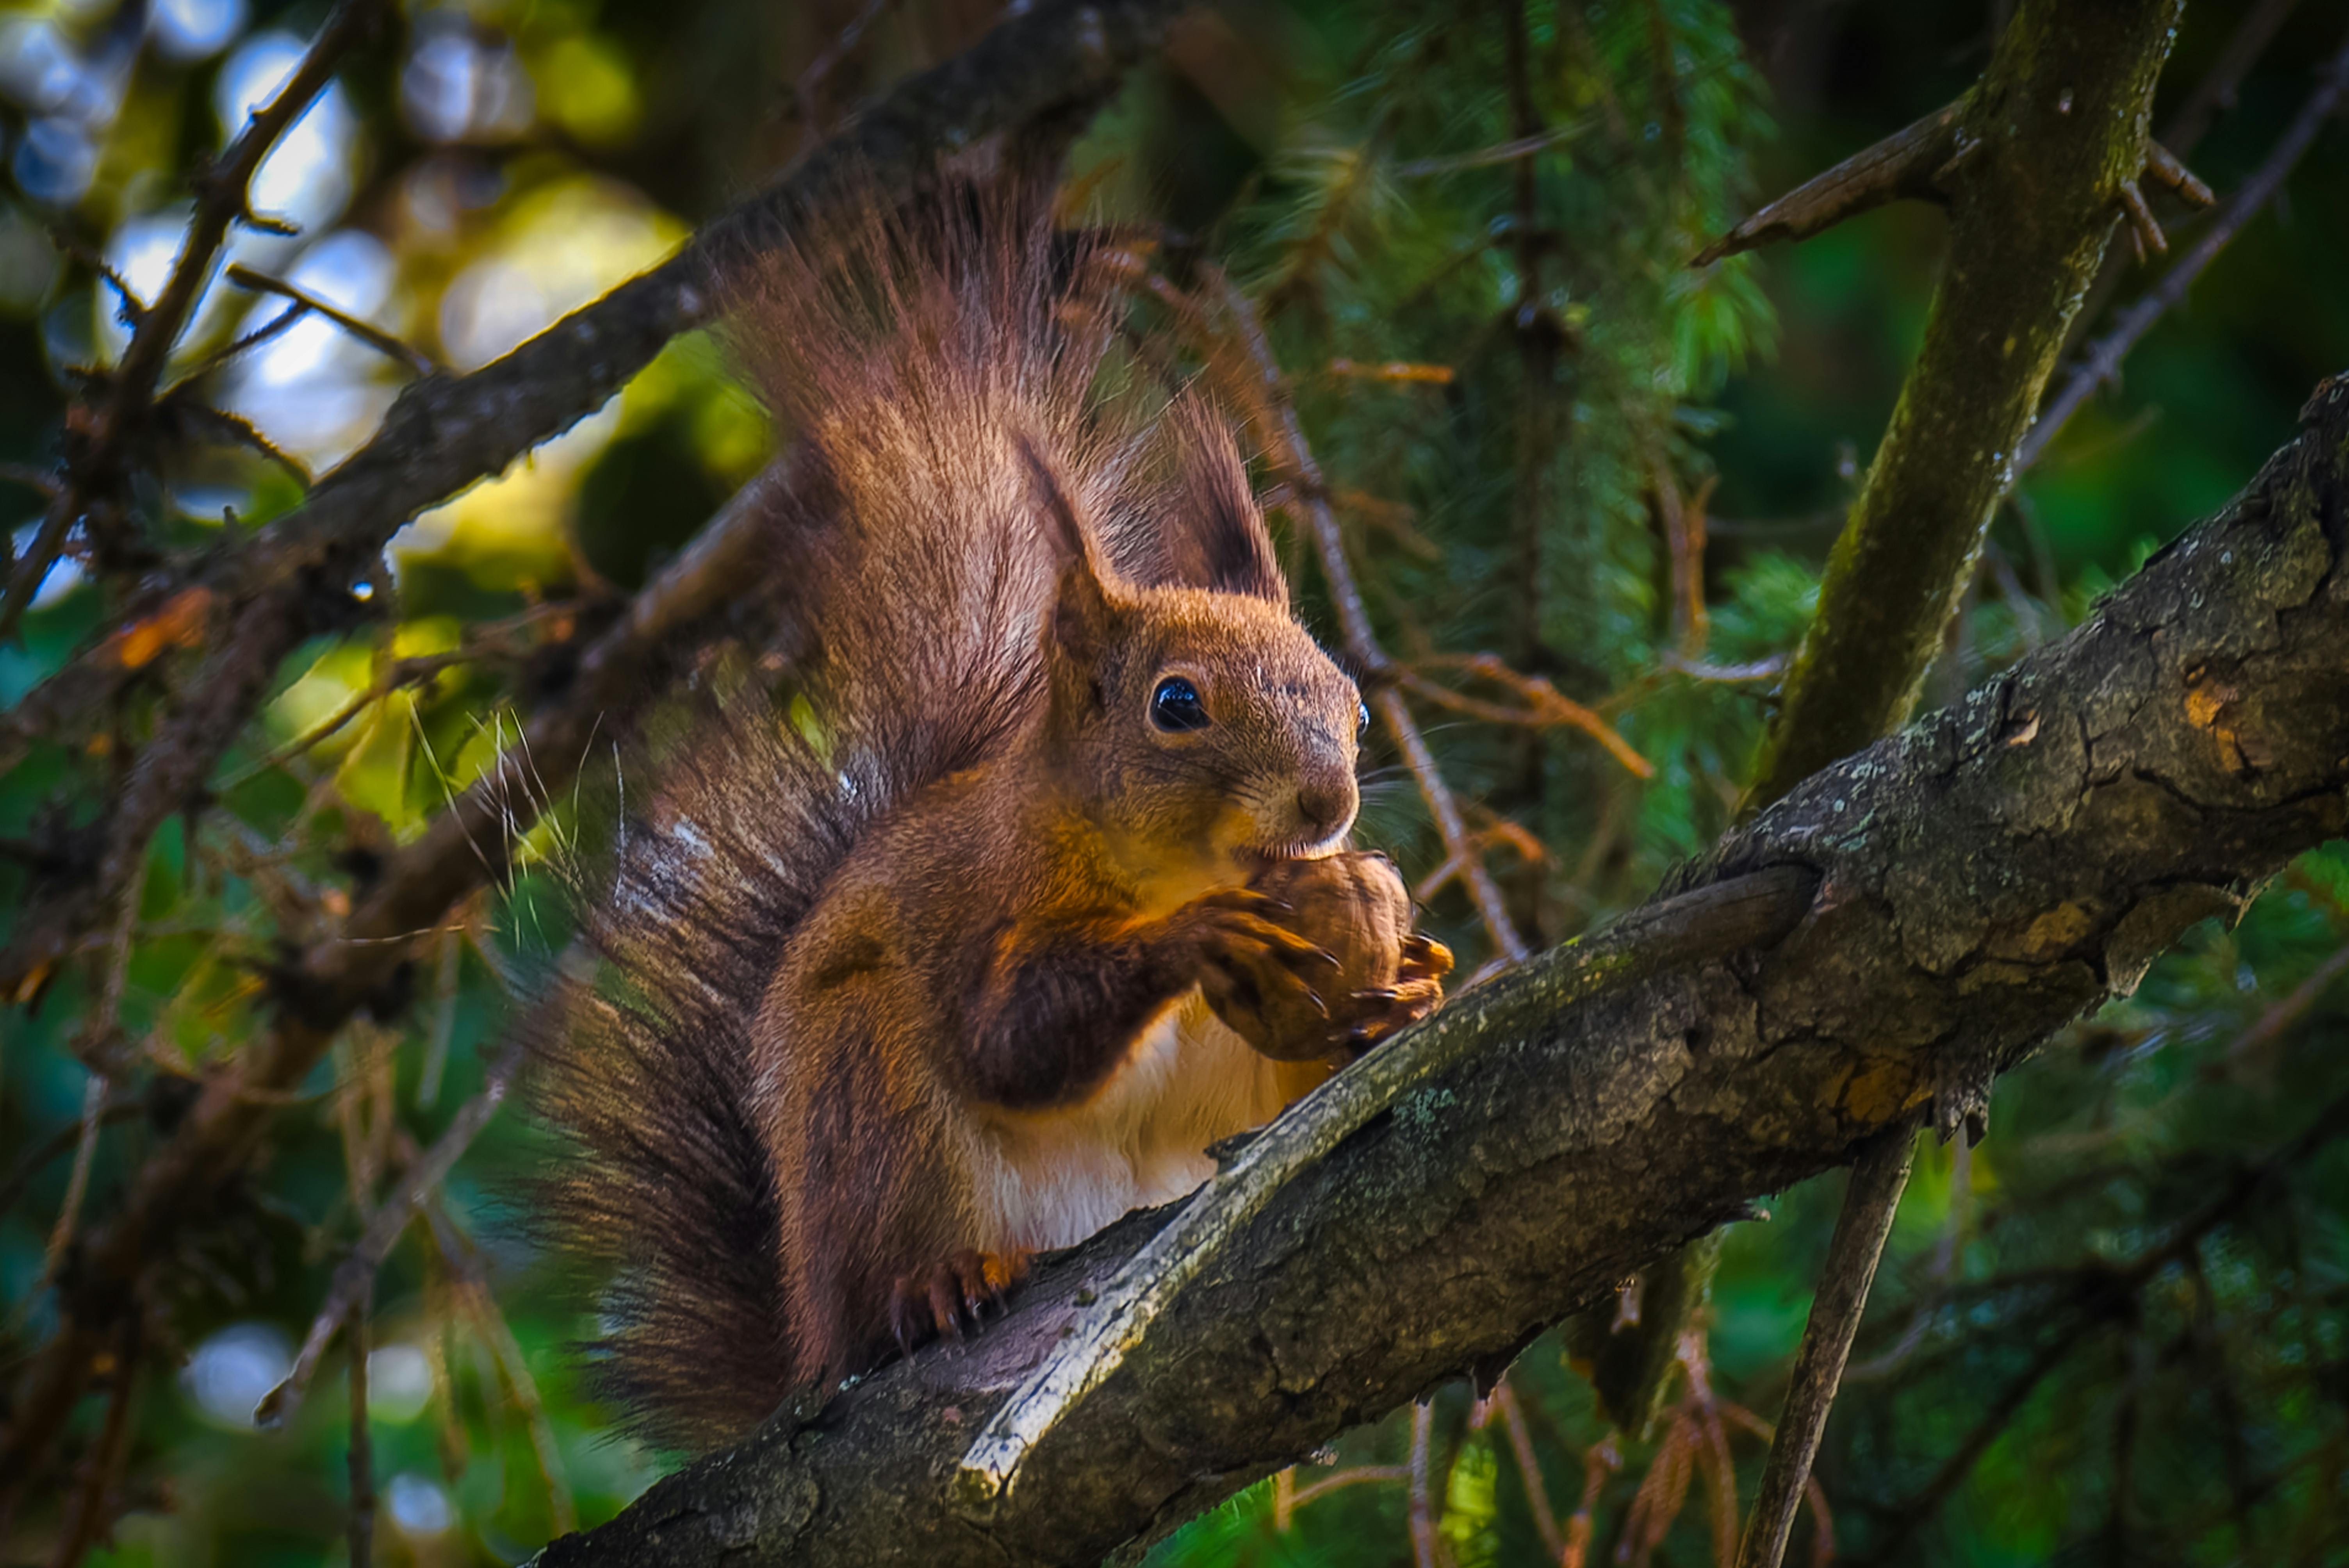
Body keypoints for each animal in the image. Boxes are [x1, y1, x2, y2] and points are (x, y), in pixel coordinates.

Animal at [527, 183, 1454, 1454]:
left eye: (1353, 704)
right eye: (1176, 704)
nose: (1329, 804)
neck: (1159, 864)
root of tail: (809, 1331)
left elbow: (1275, 1093)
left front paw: (1402, 976)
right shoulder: (980, 905)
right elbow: (1008, 1041)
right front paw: (1196, 938)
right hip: (866, 1092)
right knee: (893, 1265)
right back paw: (934, 1286)